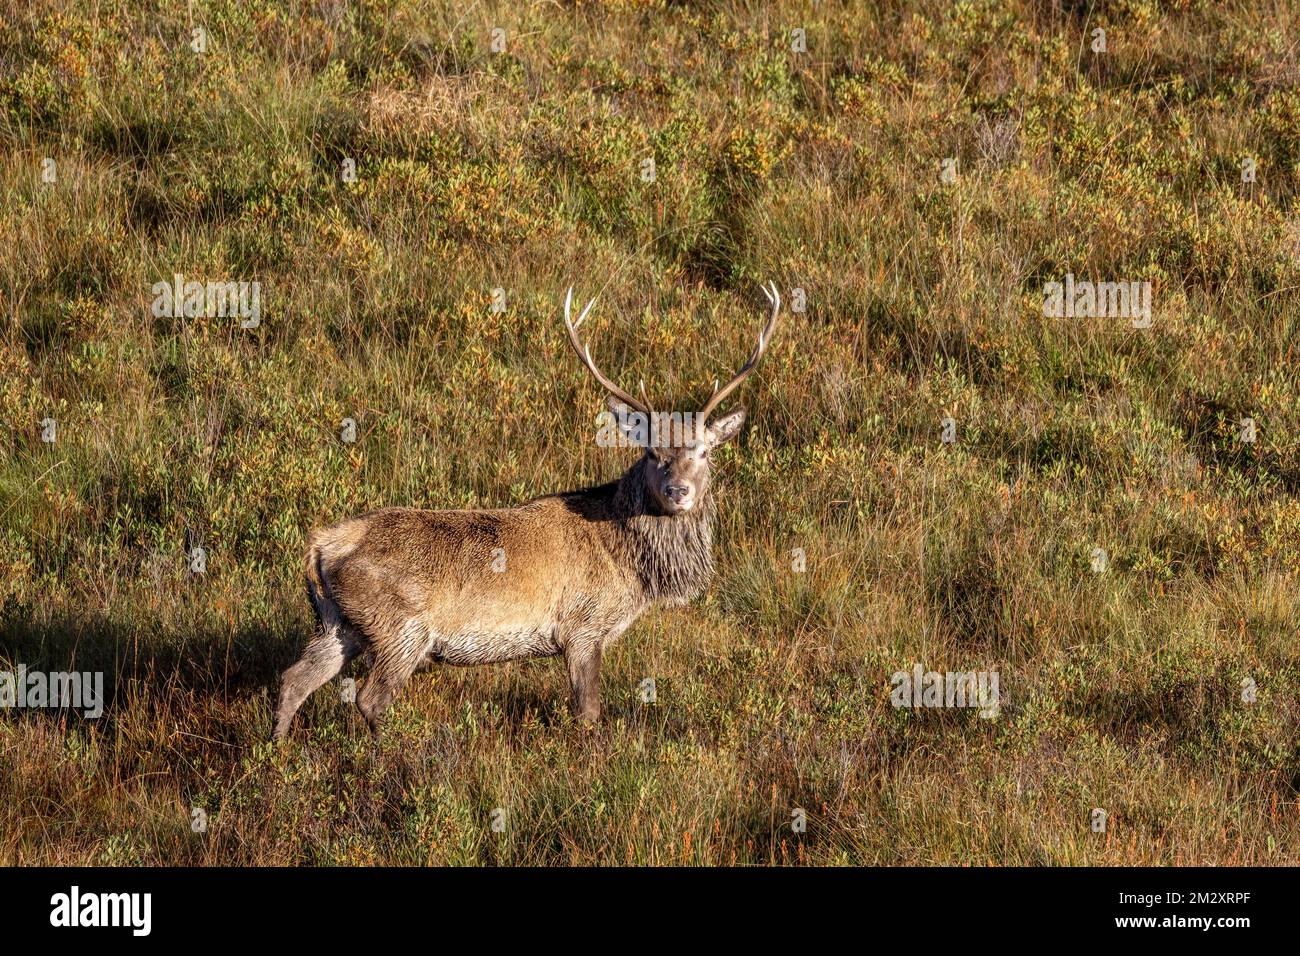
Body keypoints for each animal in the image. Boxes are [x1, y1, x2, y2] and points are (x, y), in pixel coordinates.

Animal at [272, 283, 780, 739]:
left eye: (704, 451)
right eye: (652, 453)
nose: (678, 491)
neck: (632, 572)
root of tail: (321, 546)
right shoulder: (581, 627)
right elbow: (588, 712)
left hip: (339, 622)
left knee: (295, 678)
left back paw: (277, 750)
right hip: (400, 627)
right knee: (369, 697)